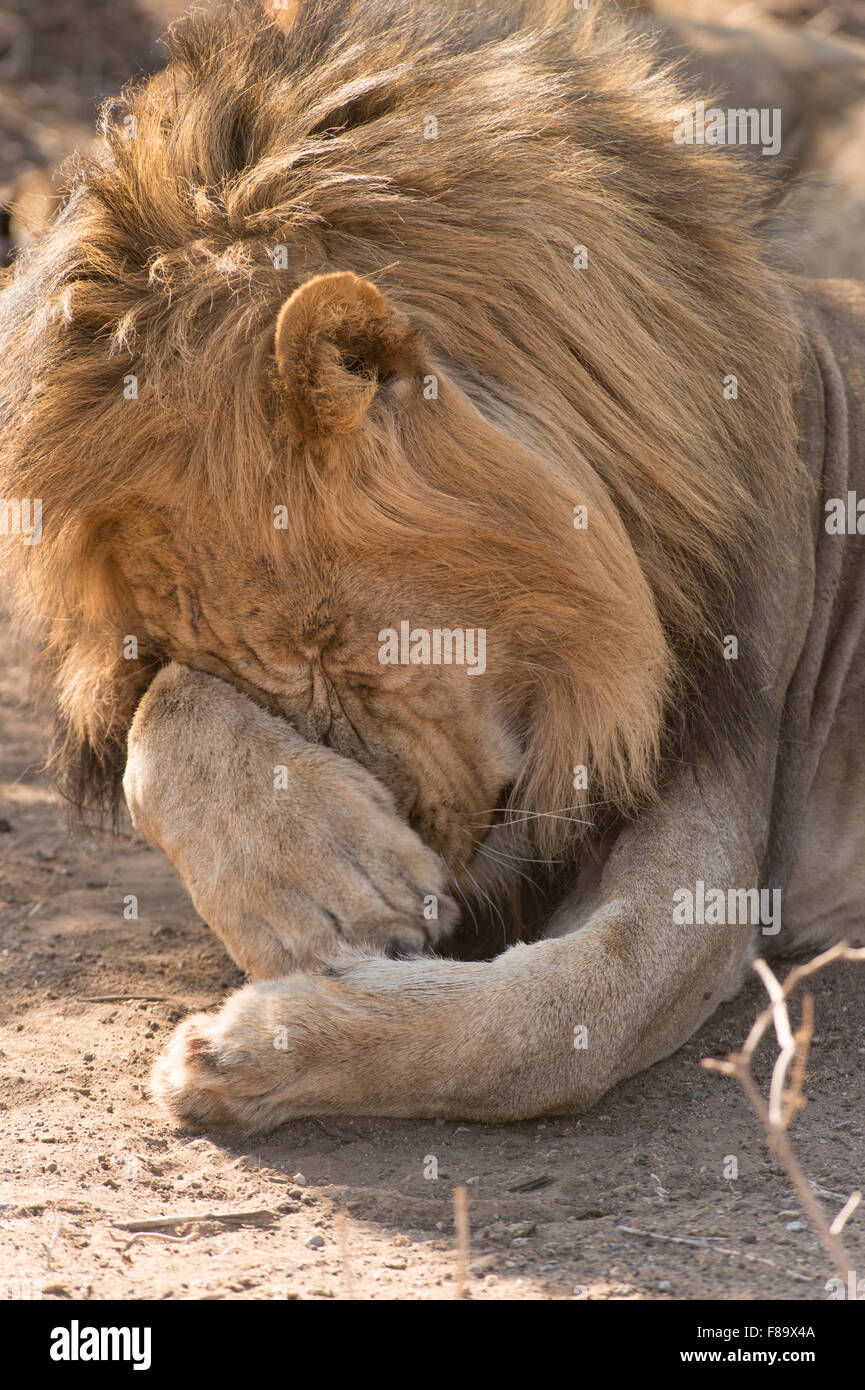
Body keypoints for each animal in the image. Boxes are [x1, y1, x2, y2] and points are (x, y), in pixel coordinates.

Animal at [2, 0, 865, 1131]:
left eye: (340, 648)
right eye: (273, 687)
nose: (435, 848)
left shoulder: (724, 805)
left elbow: (559, 1017)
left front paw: (261, 1051)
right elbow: (164, 706)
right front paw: (324, 888)